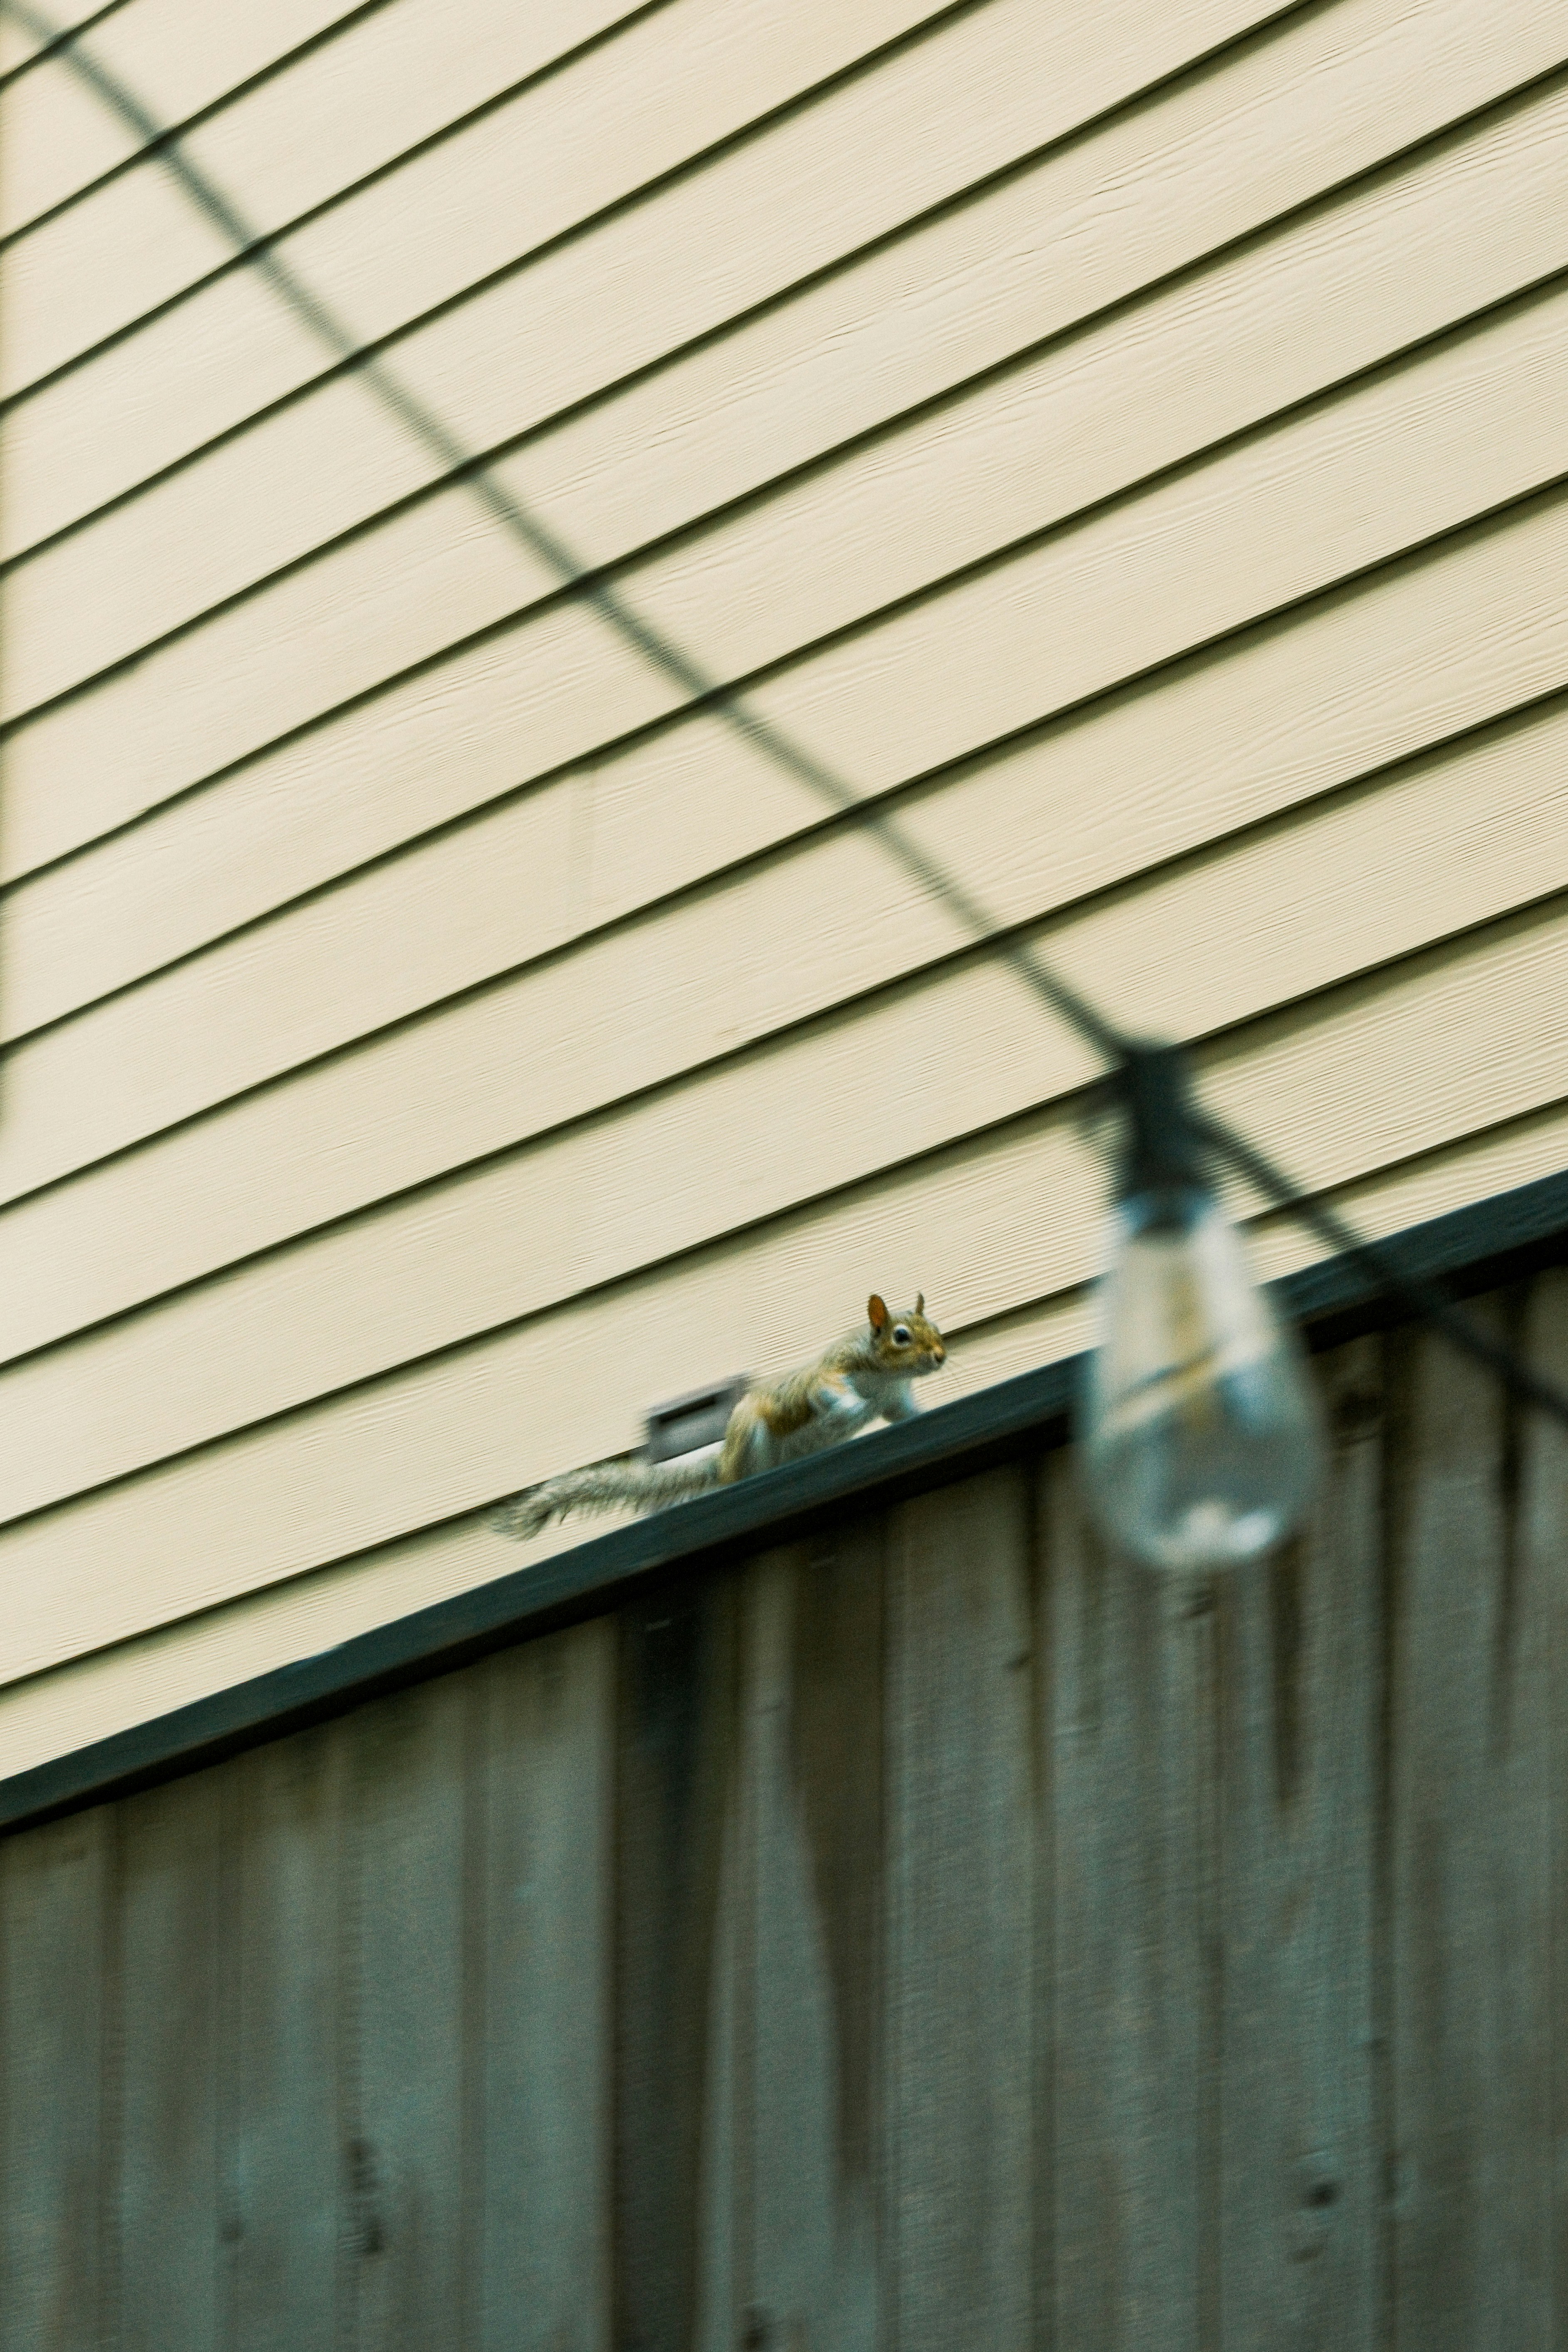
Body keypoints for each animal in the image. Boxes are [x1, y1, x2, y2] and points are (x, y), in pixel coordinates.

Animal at [492, 1293, 947, 1540]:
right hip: (751, 1436)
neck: (884, 1375)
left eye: (938, 1329)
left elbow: (905, 1413)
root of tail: (723, 1460)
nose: (941, 1357)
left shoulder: (894, 1399)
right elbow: (826, 1394)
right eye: (901, 1336)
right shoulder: (827, 1375)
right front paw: (853, 1410)